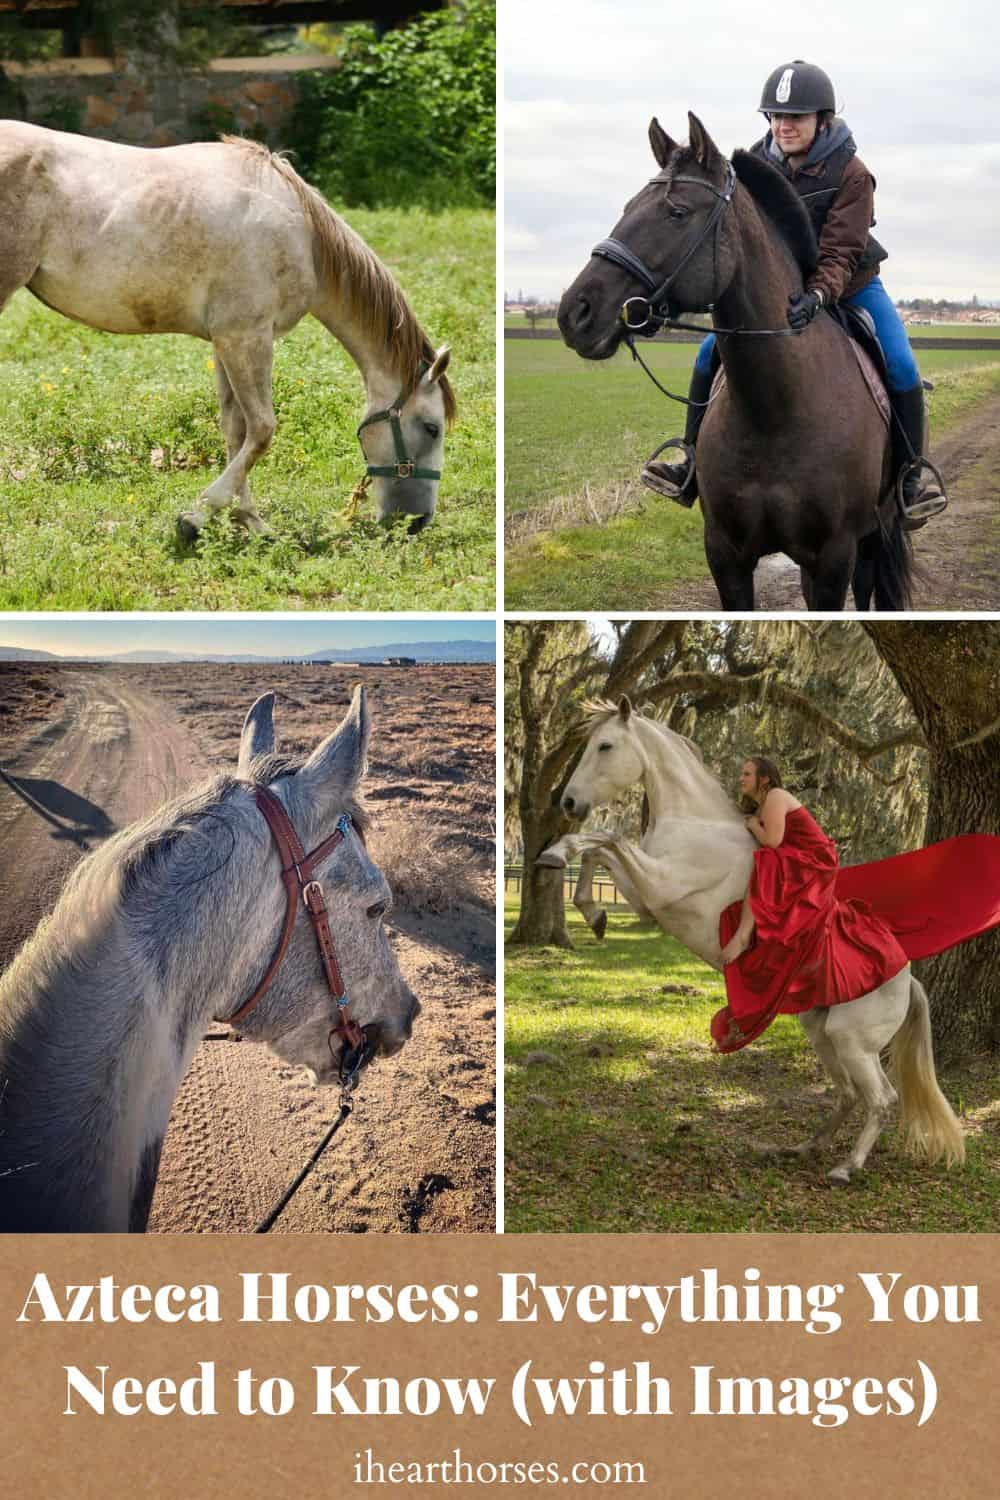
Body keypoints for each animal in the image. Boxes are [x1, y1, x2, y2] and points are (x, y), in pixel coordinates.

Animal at [0, 123, 455, 537]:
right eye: (432, 428)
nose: (418, 523)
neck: (302, 234)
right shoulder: (247, 337)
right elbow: (263, 429)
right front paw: (198, 517)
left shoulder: (226, 342)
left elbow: (237, 431)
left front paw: (249, 520)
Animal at [538, 698, 964, 1185]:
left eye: (605, 746)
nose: (569, 802)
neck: (695, 821)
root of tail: (906, 978)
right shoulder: (648, 899)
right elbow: (598, 851)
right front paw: (593, 913)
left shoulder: (660, 884)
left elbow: (605, 838)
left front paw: (556, 855)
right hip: (822, 1033)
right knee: (847, 1094)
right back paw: (804, 1147)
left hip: (853, 1041)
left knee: (881, 1099)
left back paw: (845, 1167)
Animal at [557, 114, 912, 612]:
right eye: (628, 206)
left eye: (677, 212)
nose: (575, 313)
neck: (775, 410)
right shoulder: (726, 554)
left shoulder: (834, 557)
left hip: (874, 534)